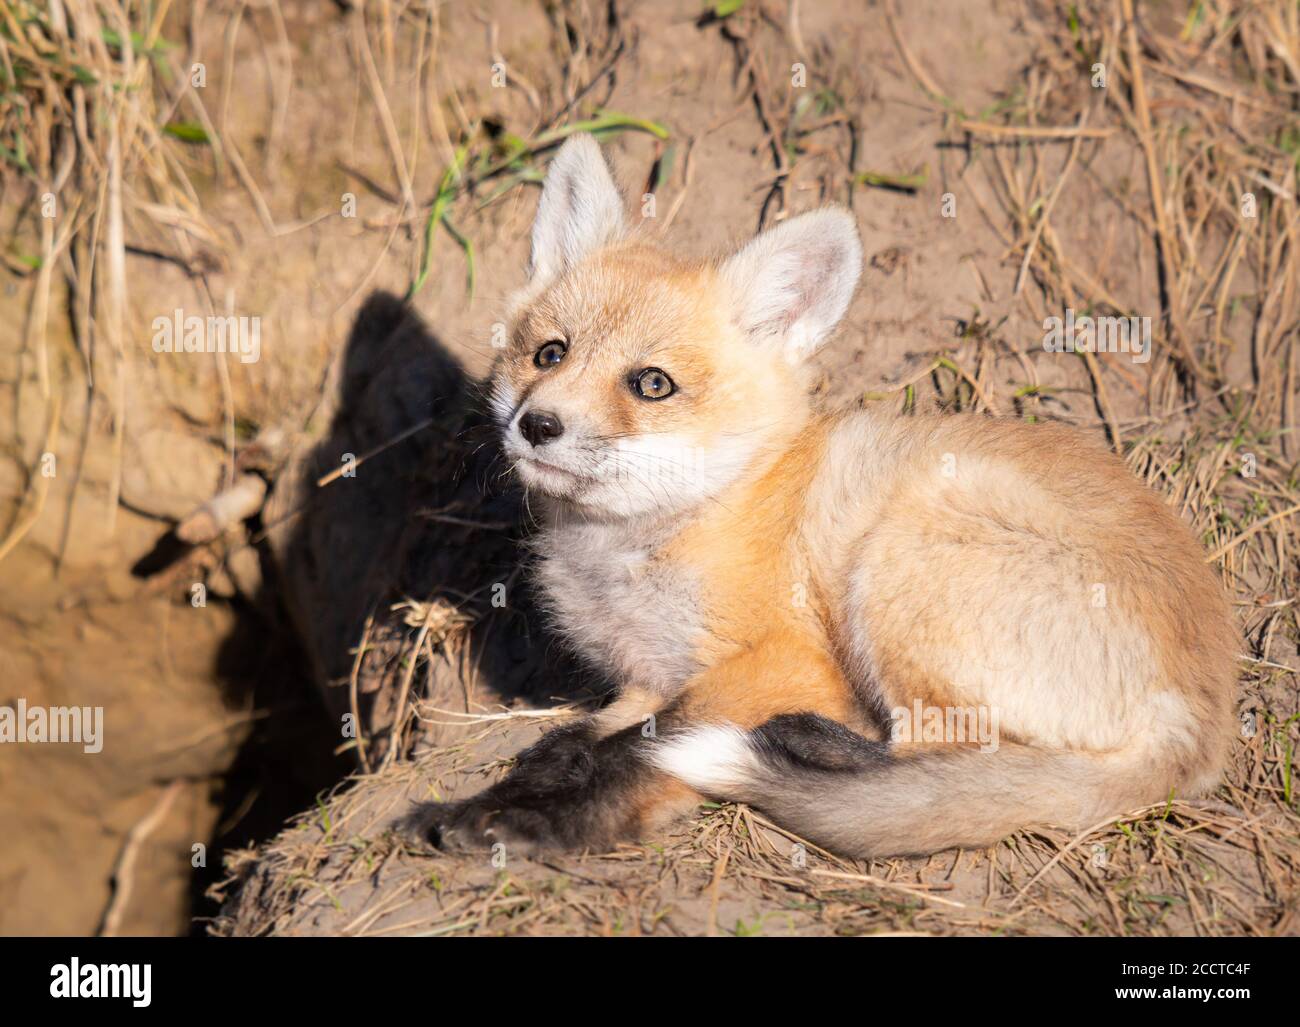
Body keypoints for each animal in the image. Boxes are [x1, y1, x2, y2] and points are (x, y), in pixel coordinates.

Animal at [409, 133, 1239, 859]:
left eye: (651, 384)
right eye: (551, 353)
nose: (536, 424)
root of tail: (1205, 704)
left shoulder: (786, 660)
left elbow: (642, 751)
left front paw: (540, 821)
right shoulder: (649, 674)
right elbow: (585, 736)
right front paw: (514, 788)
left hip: (900, 561)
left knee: (932, 759)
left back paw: (803, 748)